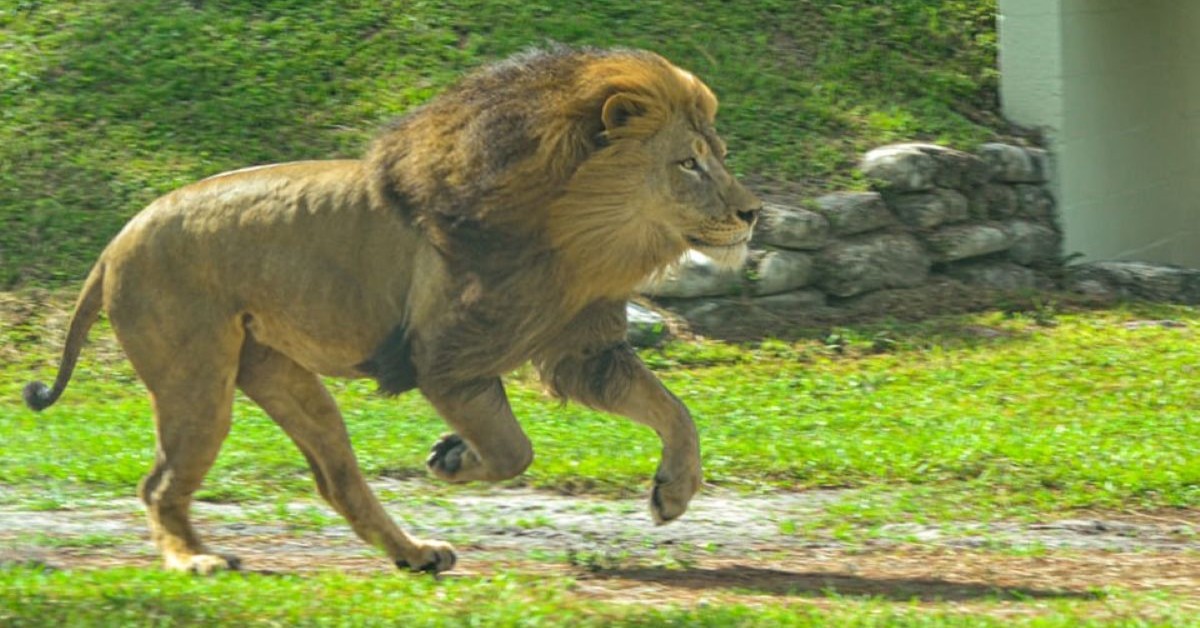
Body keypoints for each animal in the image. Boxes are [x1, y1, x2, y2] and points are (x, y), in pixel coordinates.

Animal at [22, 45, 761, 575]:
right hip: (196, 379)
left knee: (336, 481)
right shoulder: (444, 356)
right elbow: (513, 450)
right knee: (159, 484)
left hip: (280, 375)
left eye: (718, 157)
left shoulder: (583, 347)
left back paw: (415, 555)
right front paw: (456, 458)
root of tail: (114, 244)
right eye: (689, 164)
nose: (754, 213)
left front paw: (674, 491)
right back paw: (194, 561)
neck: (576, 232)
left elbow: (673, 409)